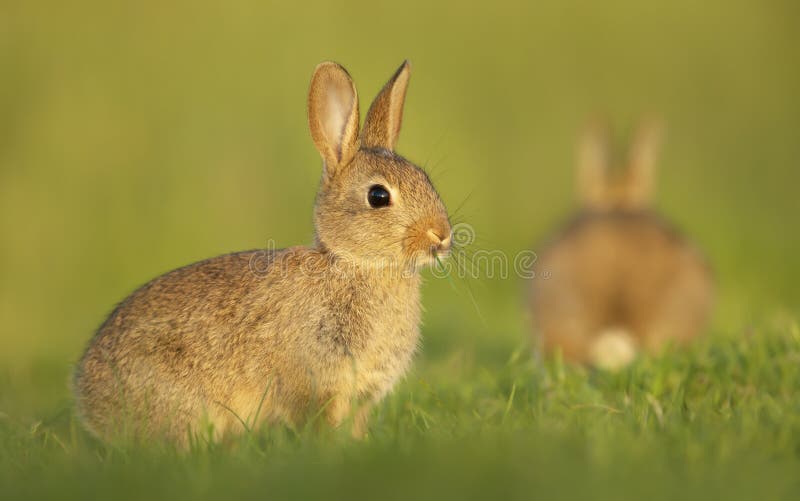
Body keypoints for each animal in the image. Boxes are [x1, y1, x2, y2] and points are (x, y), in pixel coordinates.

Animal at [72, 61, 452, 444]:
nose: (442, 235)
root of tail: (90, 402)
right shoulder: (314, 382)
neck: (356, 264)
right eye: (378, 196)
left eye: (424, 178)